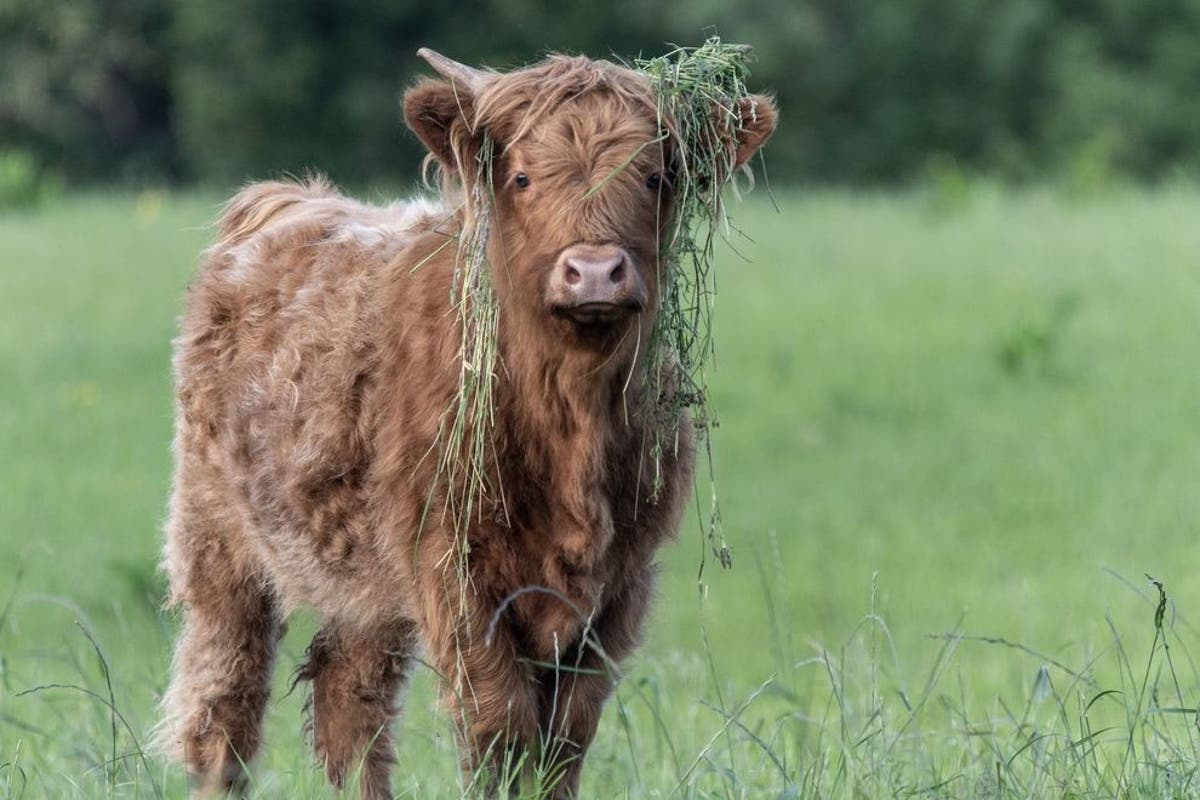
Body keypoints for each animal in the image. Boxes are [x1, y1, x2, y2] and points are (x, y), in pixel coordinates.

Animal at [157, 48, 776, 798]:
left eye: (657, 175)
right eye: (522, 176)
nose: (595, 271)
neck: (568, 424)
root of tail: (288, 202)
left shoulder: (620, 585)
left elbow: (565, 738)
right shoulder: (455, 572)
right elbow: (498, 728)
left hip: (364, 577)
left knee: (349, 699)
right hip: (218, 542)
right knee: (225, 708)